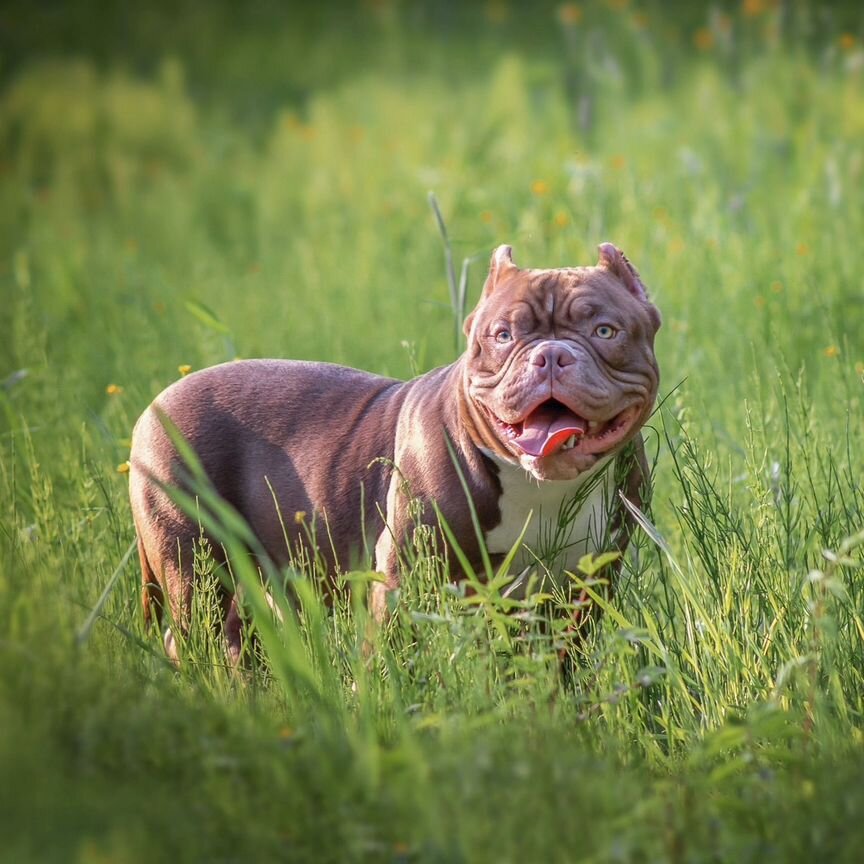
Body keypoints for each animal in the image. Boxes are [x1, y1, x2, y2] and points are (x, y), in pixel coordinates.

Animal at [130, 243, 660, 660]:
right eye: (503, 335)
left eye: (606, 331)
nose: (549, 354)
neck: (539, 488)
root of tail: (153, 407)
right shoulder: (404, 579)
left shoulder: (584, 585)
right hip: (193, 563)